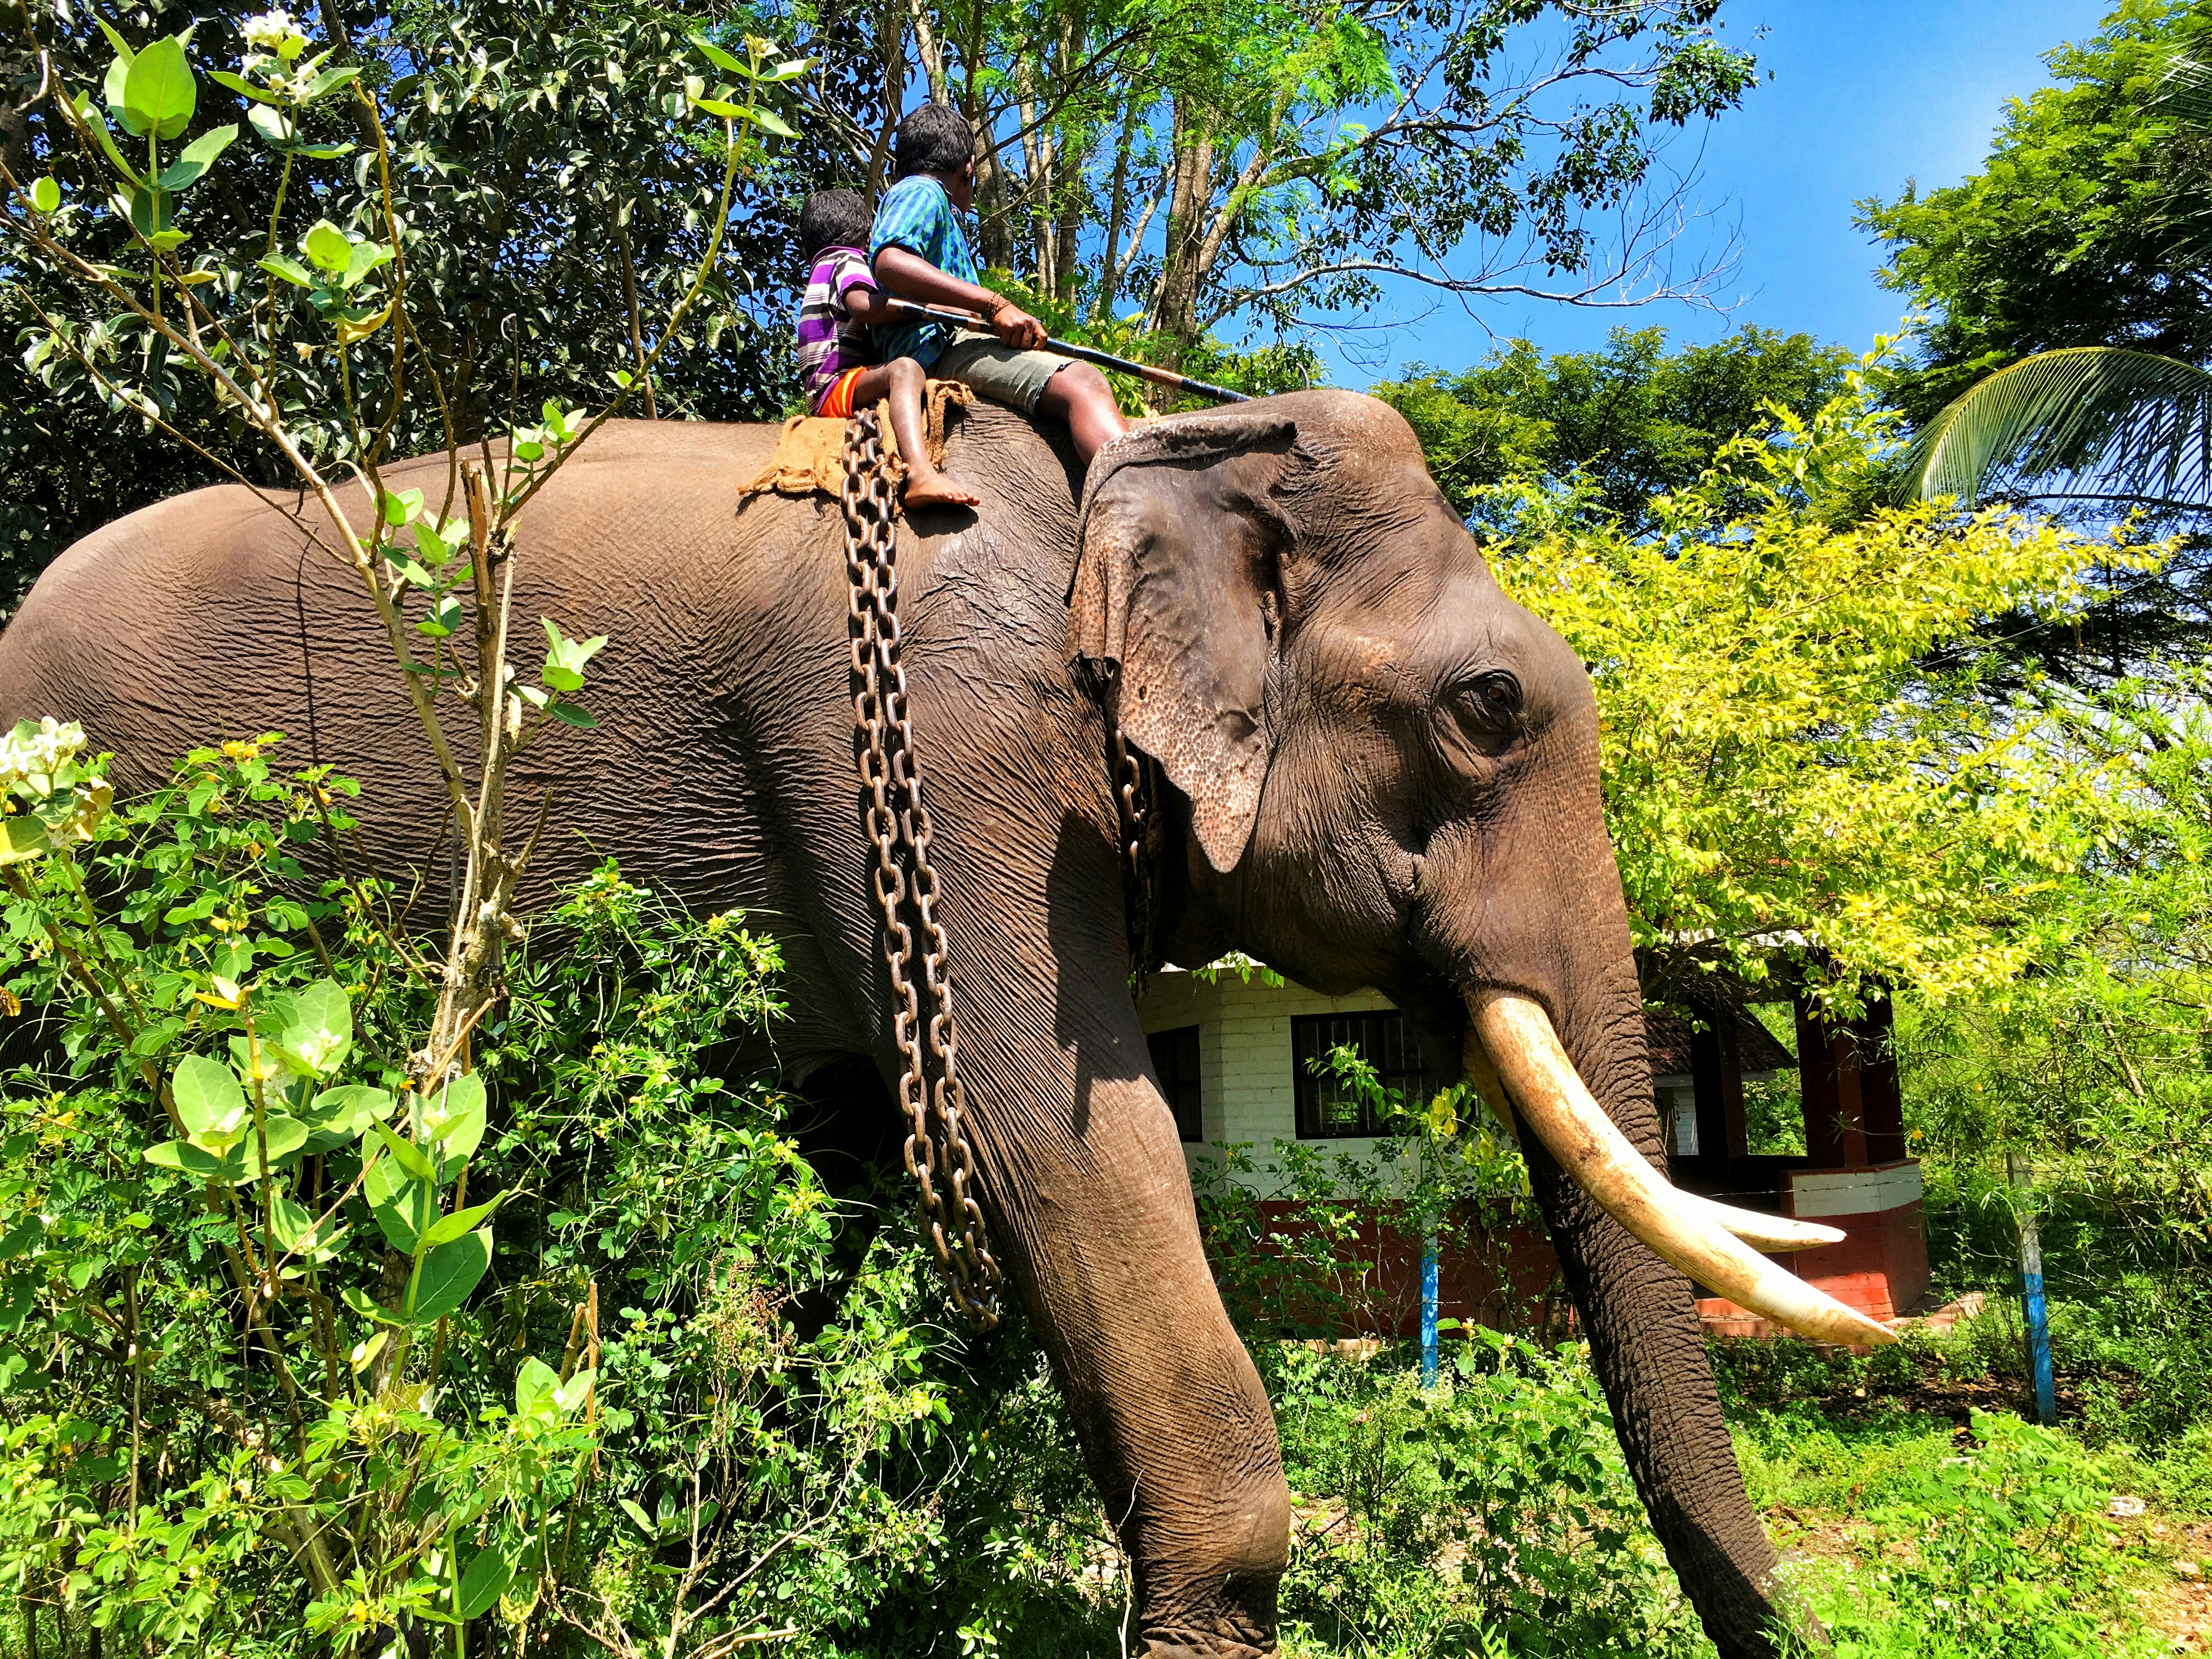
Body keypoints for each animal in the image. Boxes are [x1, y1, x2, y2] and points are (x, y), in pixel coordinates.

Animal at [0, 390, 1885, 1657]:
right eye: (1488, 707)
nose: (1797, 1628)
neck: (1152, 453)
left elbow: (832, 1181)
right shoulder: (950, 735)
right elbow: (1058, 1148)